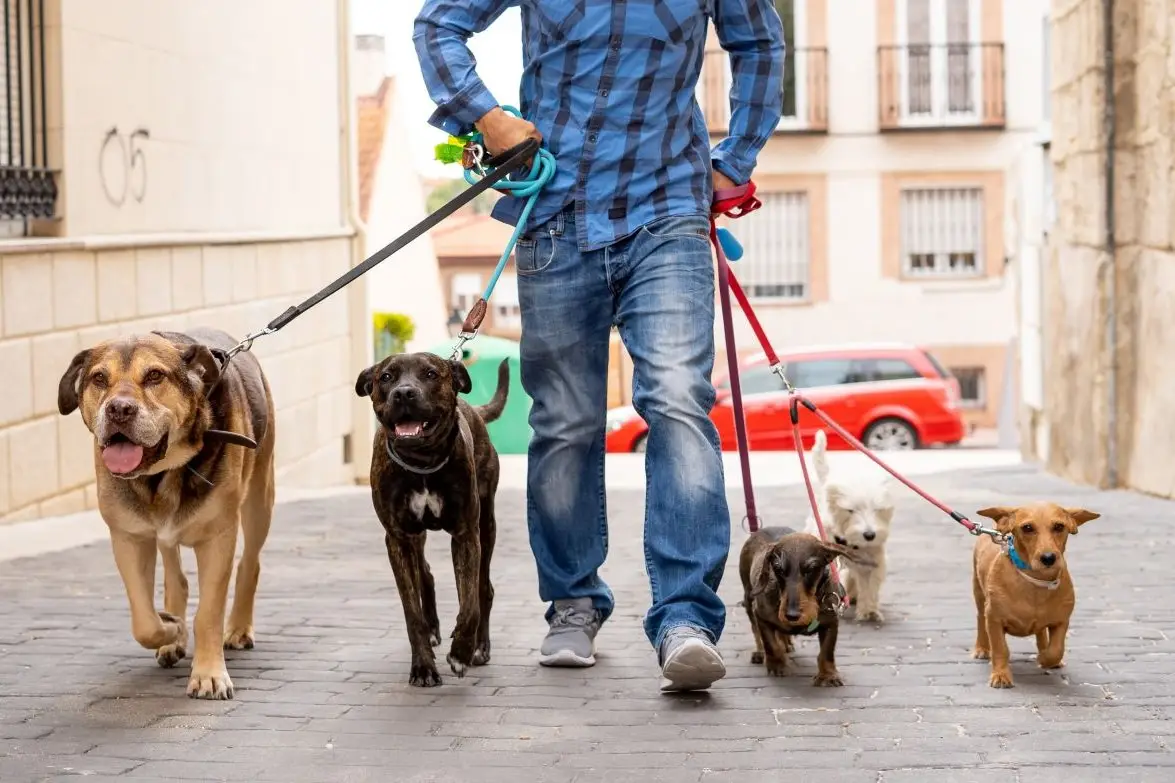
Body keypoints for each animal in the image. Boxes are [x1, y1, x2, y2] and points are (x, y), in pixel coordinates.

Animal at [57, 326, 274, 696]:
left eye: (155, 376)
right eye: (99, 378)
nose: (119, 410)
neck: (162, 473)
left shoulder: (218, 537)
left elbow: (208, 614)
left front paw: (209, 675)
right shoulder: (129, 537)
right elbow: (144, 620)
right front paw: (172, 629)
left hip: (260, 500)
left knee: (251, 562)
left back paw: (239, 628)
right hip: (164, 532)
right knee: (175, 574)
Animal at [352, 350, 509, 681]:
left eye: (431, 374)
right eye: (386, 377)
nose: (404, 393)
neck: (421, 462)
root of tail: (474, 409)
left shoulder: (466, 535)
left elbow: (469, 603)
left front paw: (461, 651)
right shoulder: (398, 539)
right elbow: (412, 612)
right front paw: (423, 666)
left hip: (487, 526)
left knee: (484, 588)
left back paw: (480, 647)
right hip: (417, 538)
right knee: (426, 574)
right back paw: (435, 629)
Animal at [742, 524, 874, 681]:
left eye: (811, 569)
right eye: (778, 569)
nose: (791, 615)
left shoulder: (831, 622)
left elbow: (827, 651)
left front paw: (828, 675)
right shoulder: (761, 616)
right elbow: (770, 644)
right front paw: (777, 665)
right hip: (748, 598)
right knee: (755, 630)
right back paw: (761, 652)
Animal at [968, 503, 1095, 686]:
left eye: (1059, 526)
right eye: (1027, 528)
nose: (1048, 558)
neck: (1036, 583)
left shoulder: (1061, 620)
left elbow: (1056, 649)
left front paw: (1045, 658)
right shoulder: (994, 619)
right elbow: (1000, 648)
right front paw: (1000, 675)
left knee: (1041, 633)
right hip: (978, 593)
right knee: (980, 619)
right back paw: (982, 649)